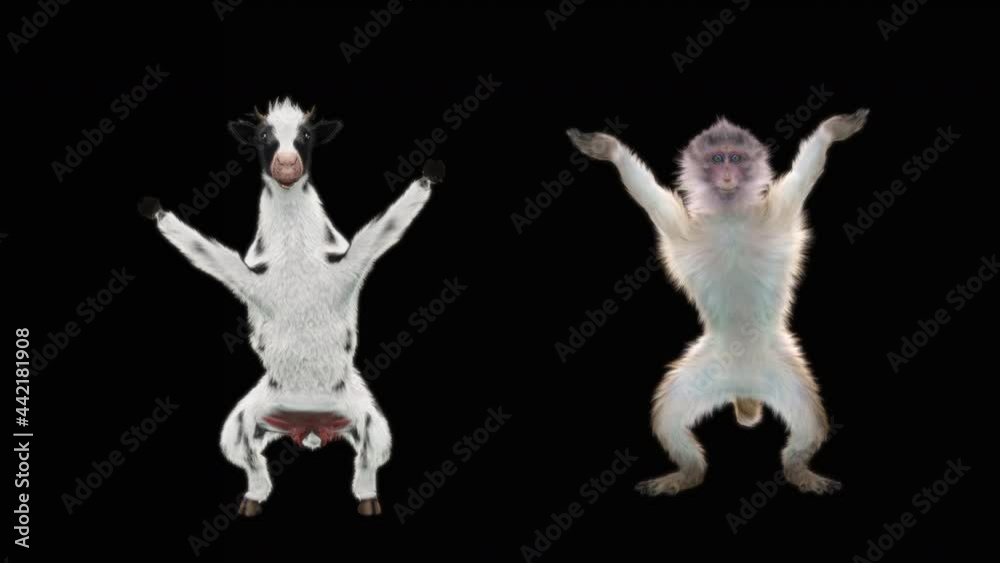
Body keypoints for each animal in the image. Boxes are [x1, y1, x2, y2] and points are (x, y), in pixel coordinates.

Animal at [567, 108, 868, 495]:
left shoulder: (776, 215)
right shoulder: (685, 229)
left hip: (780, 370)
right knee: (669, 419)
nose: (727, 175)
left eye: (735, 159)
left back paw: (798, 467)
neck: (729, 217)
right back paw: (688, 472)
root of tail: (744, 385)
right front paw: (610, 151)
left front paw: (831, 132)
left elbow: (806, 173)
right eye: (717, 159)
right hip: (709, 372)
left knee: (809, 422)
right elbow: (650, 198)